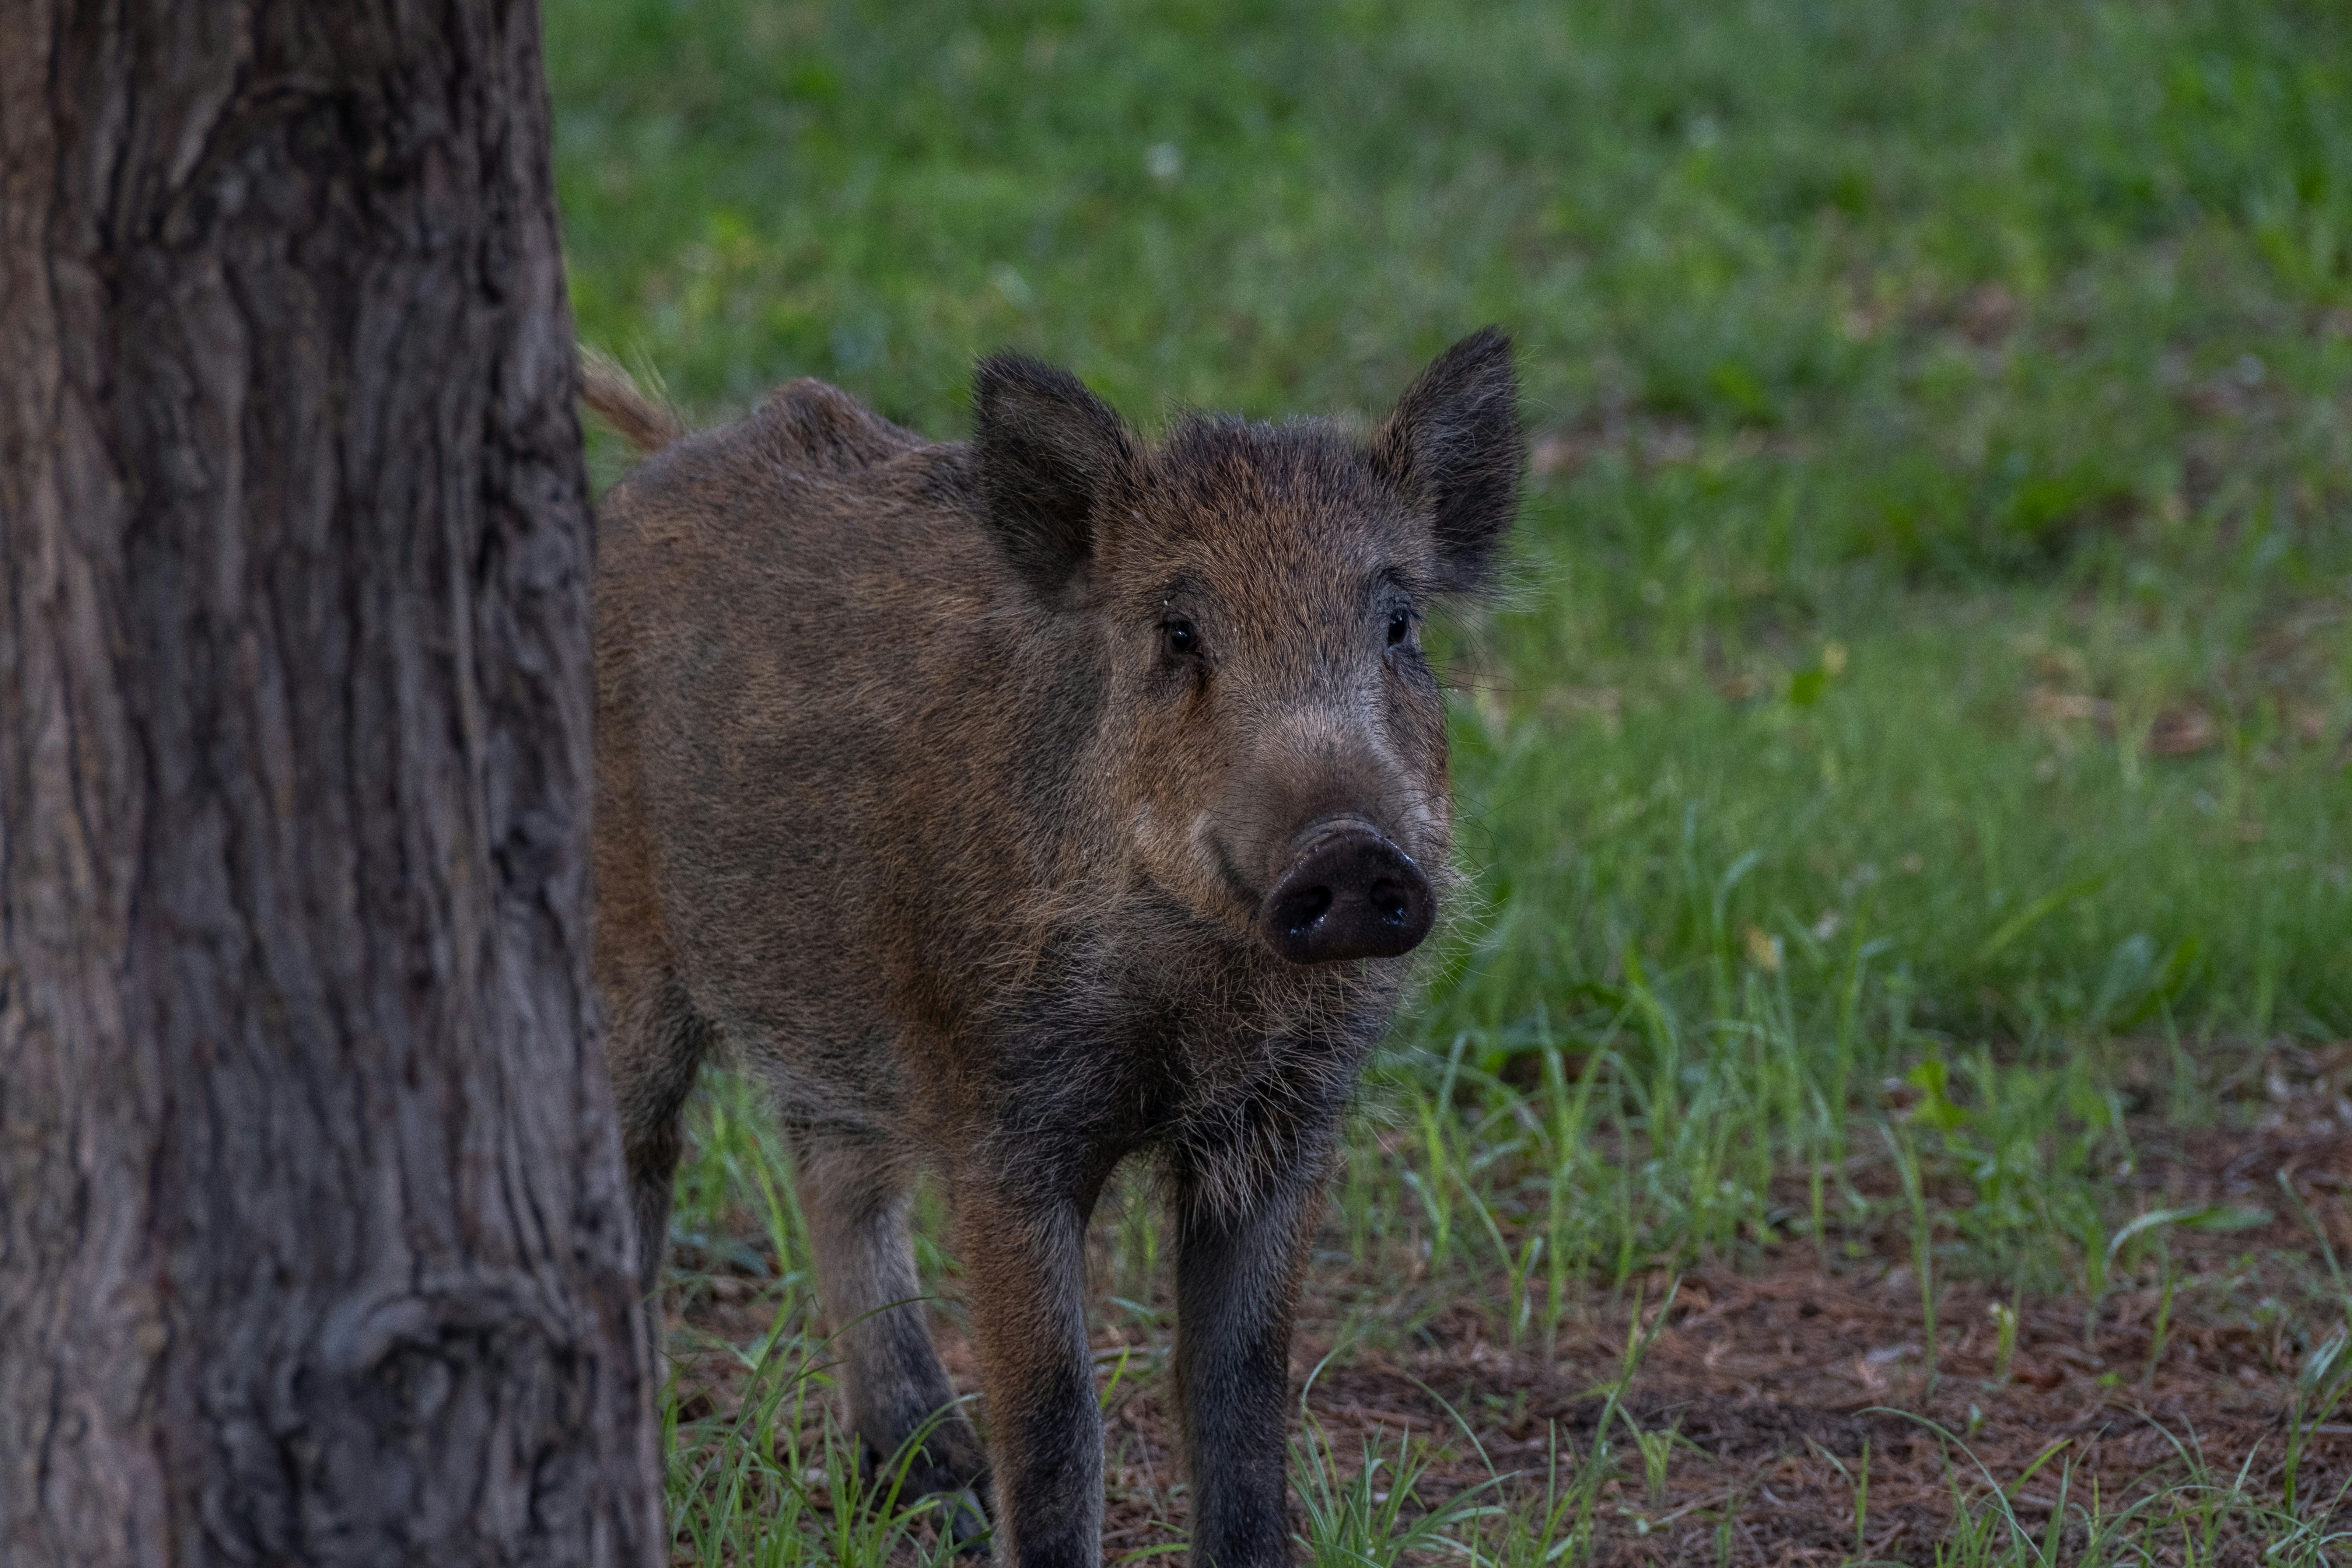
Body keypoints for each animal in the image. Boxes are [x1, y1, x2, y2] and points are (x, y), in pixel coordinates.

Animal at [584, 329, 1521, 1568]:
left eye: (1399, 623)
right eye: (1178, 631)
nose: (1353, 850)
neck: (1202, 997)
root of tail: (662, 456)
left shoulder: (1289, 1124)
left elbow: (1241, 1393)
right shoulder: (1003, 1123)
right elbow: (1054, 1413)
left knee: (834, 1174)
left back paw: (933, 1490)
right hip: (627, 958)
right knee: (638, 1176)